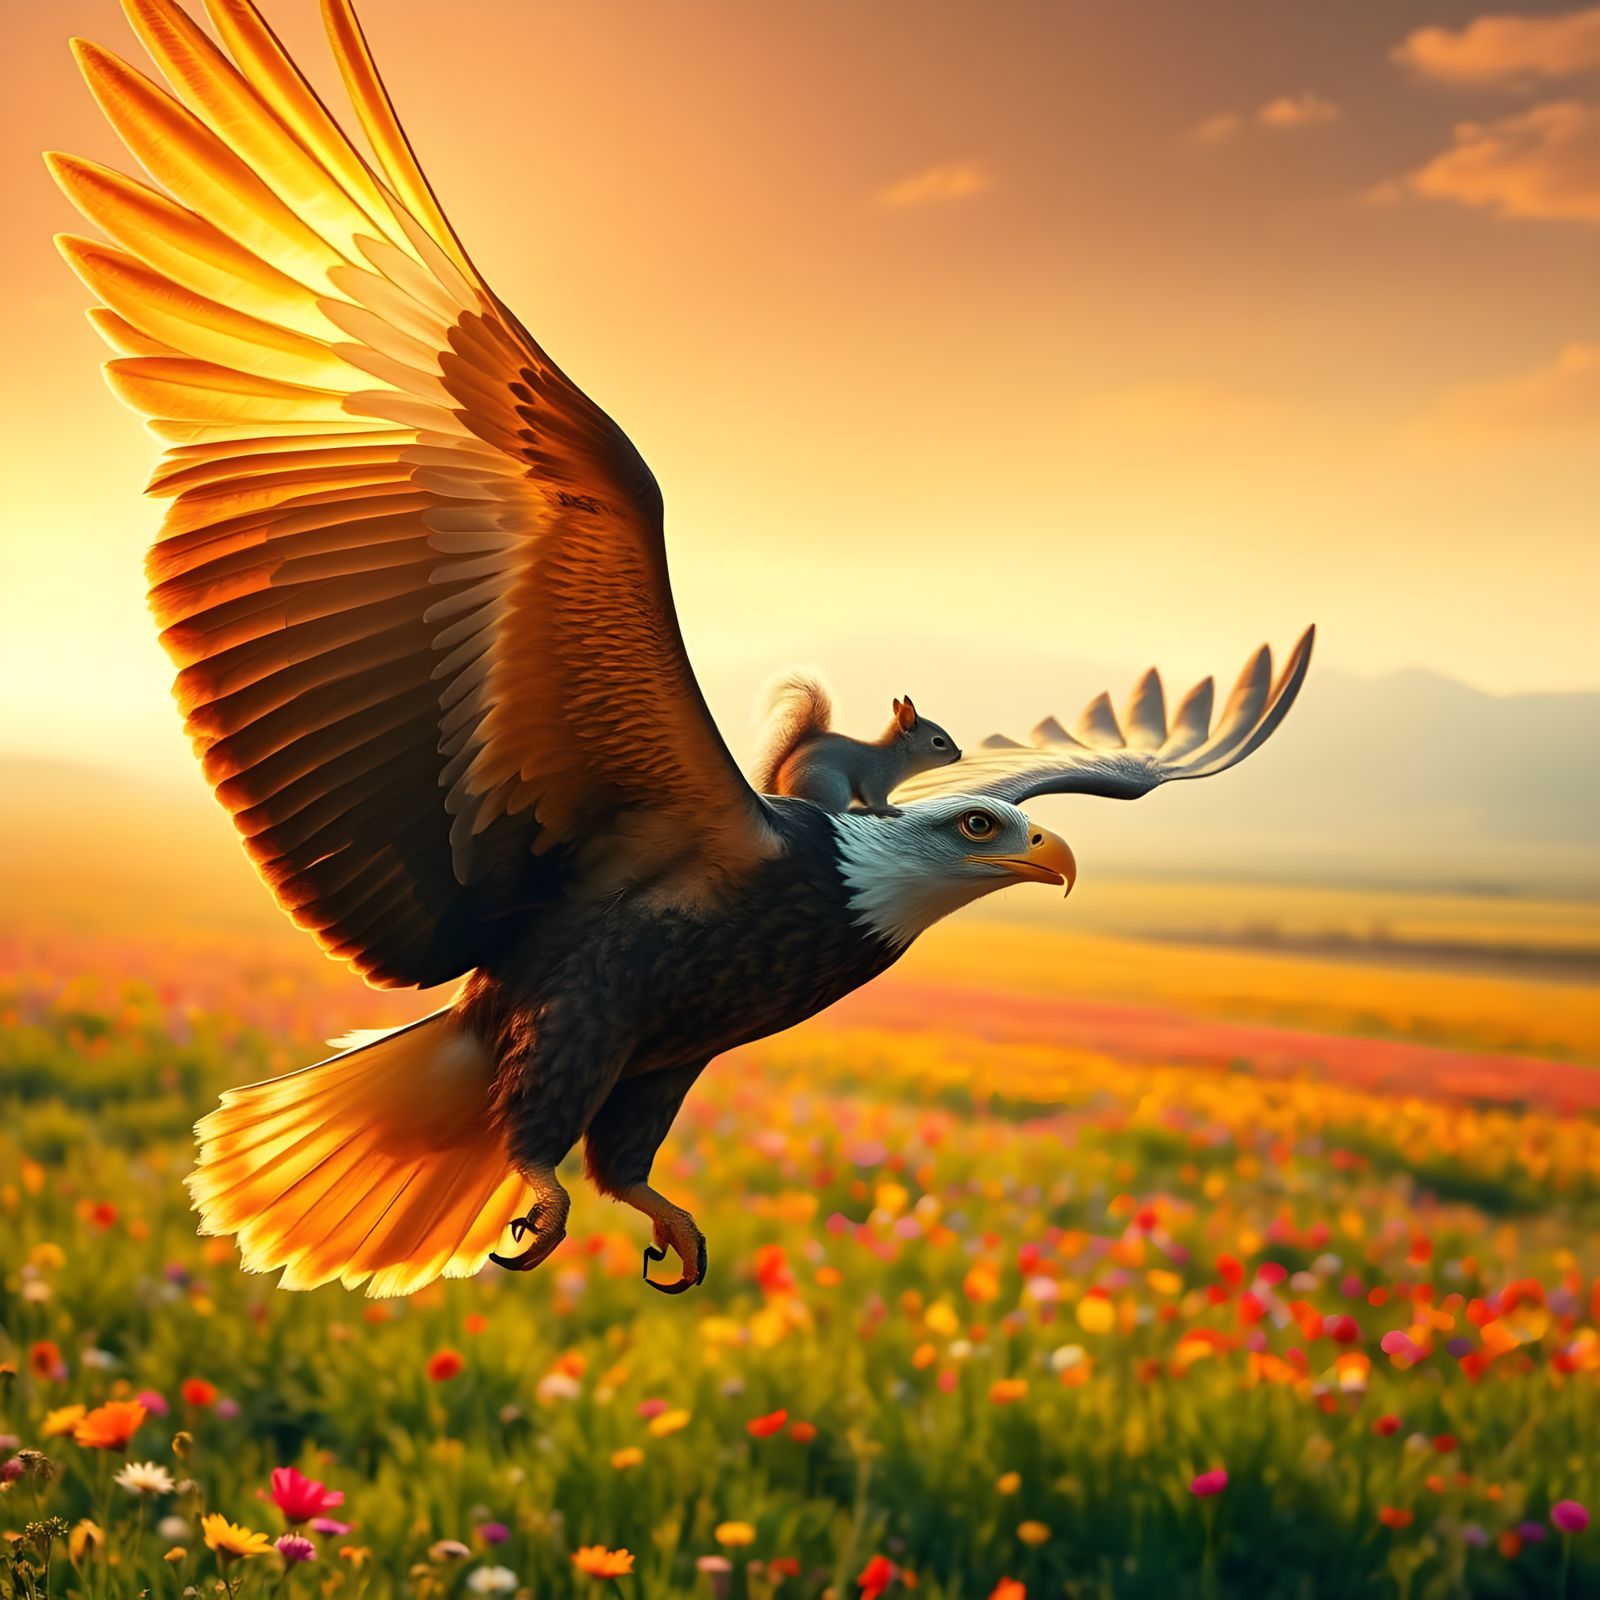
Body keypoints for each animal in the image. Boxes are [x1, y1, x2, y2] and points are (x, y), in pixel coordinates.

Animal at [753, 672, 962, 813]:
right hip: (831, 786)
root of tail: (779, 789)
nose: (959, 753)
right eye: (938, 742)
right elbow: (875, 799)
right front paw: (888, 809)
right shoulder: (875, 779)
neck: (894, 756)